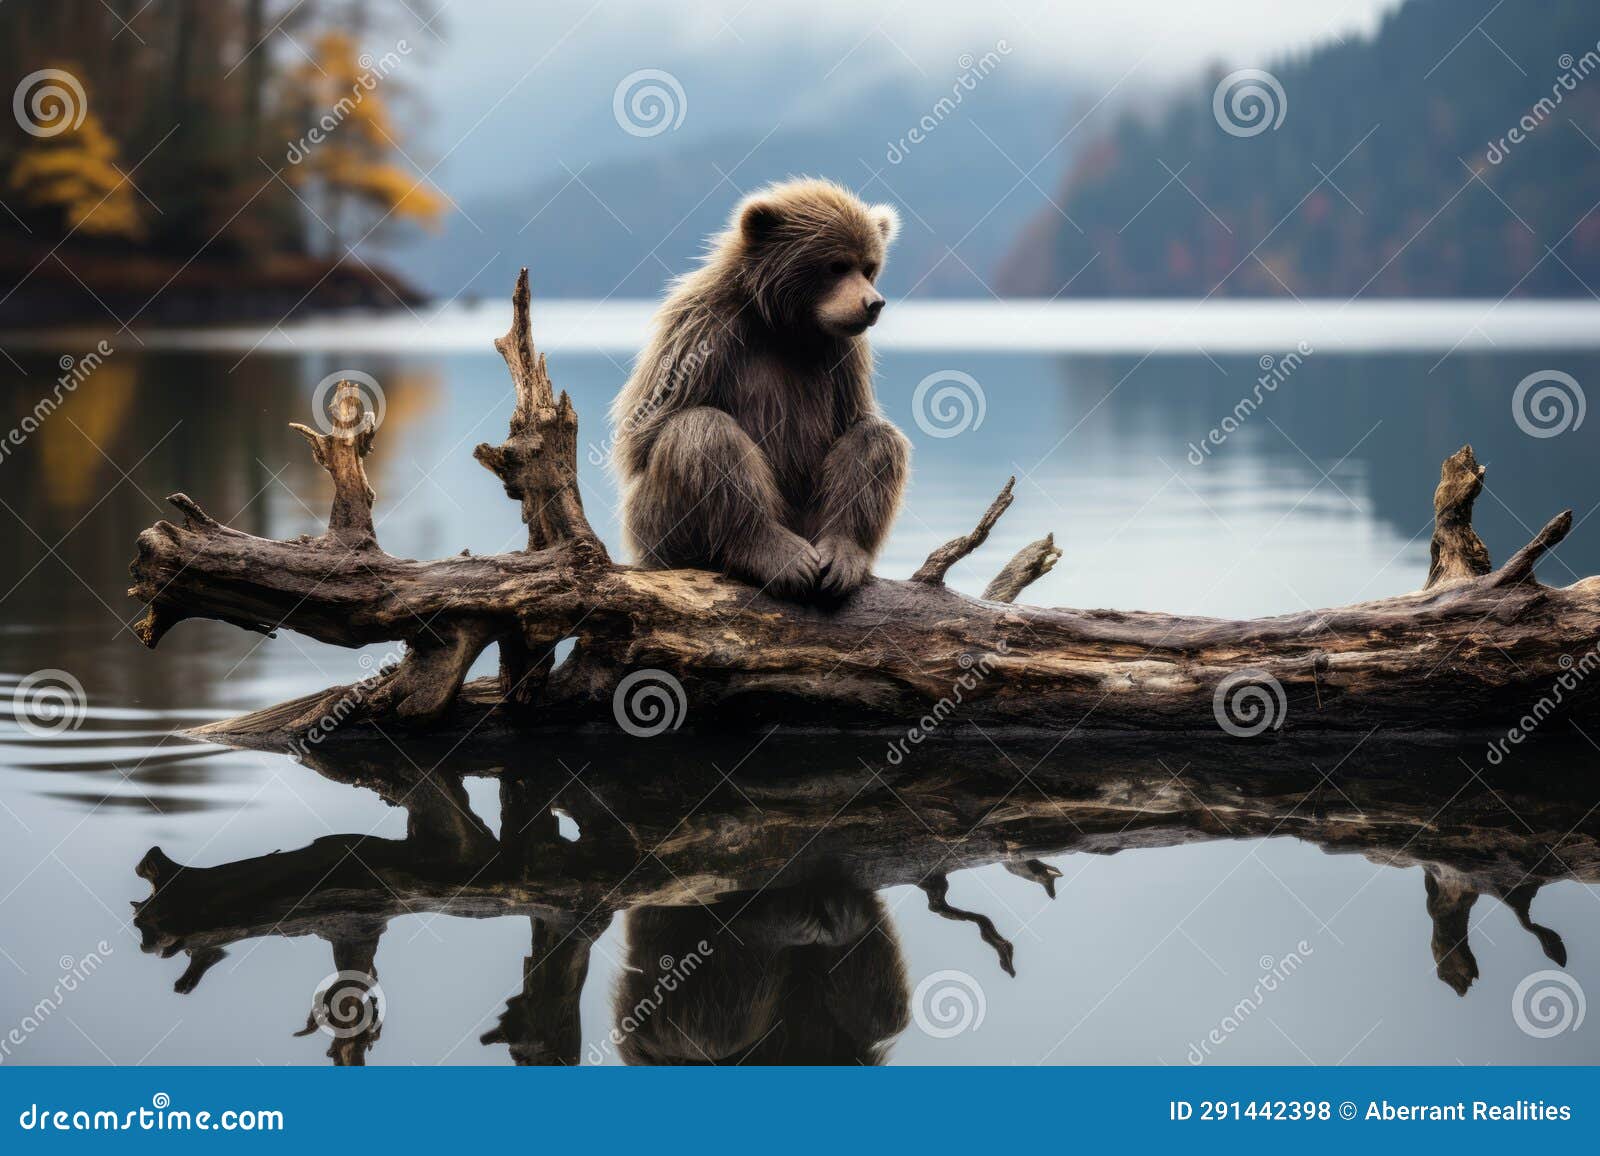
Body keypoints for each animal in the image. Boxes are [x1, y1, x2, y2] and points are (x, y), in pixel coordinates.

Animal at [611, 177, 911, 600]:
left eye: (869, 267)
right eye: (837, 265)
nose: (873, 303)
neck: (785, 325)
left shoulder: (843, 354)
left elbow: (858, 422)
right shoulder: (703, 328)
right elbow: (647, 432)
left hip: (808, 514)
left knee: (876, 438)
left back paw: (841, 555)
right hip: (656, 529)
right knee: (703, 432)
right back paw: (776, 554)